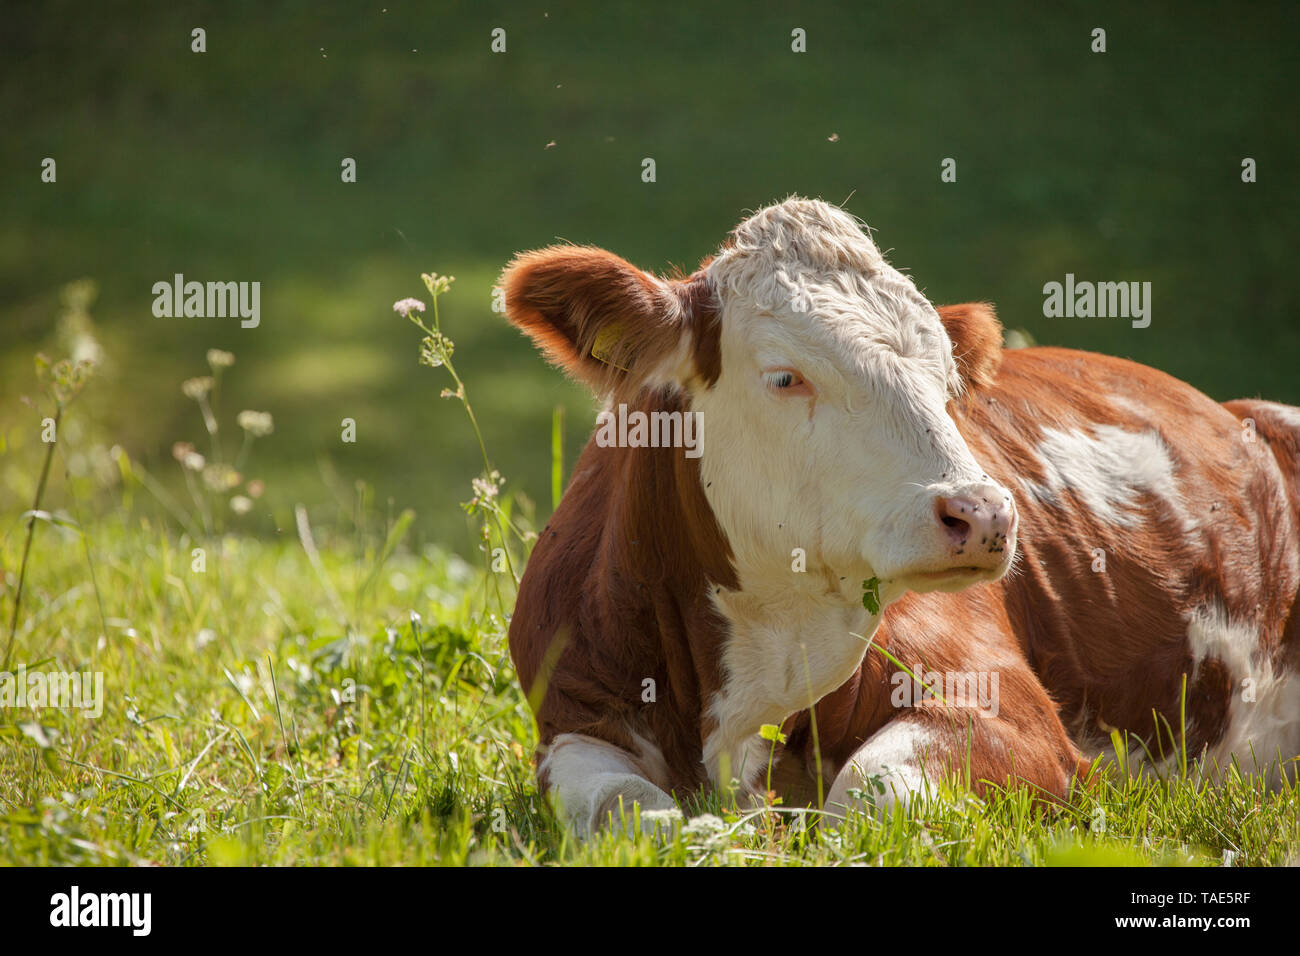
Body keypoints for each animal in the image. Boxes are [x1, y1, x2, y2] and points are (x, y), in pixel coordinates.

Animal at [500, 197, 1300, 837]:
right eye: (785, 376)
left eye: (947, 383)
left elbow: (867, 796)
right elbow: (630, 812)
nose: (983, 512)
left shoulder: (1008, 709)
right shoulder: (570, 716)